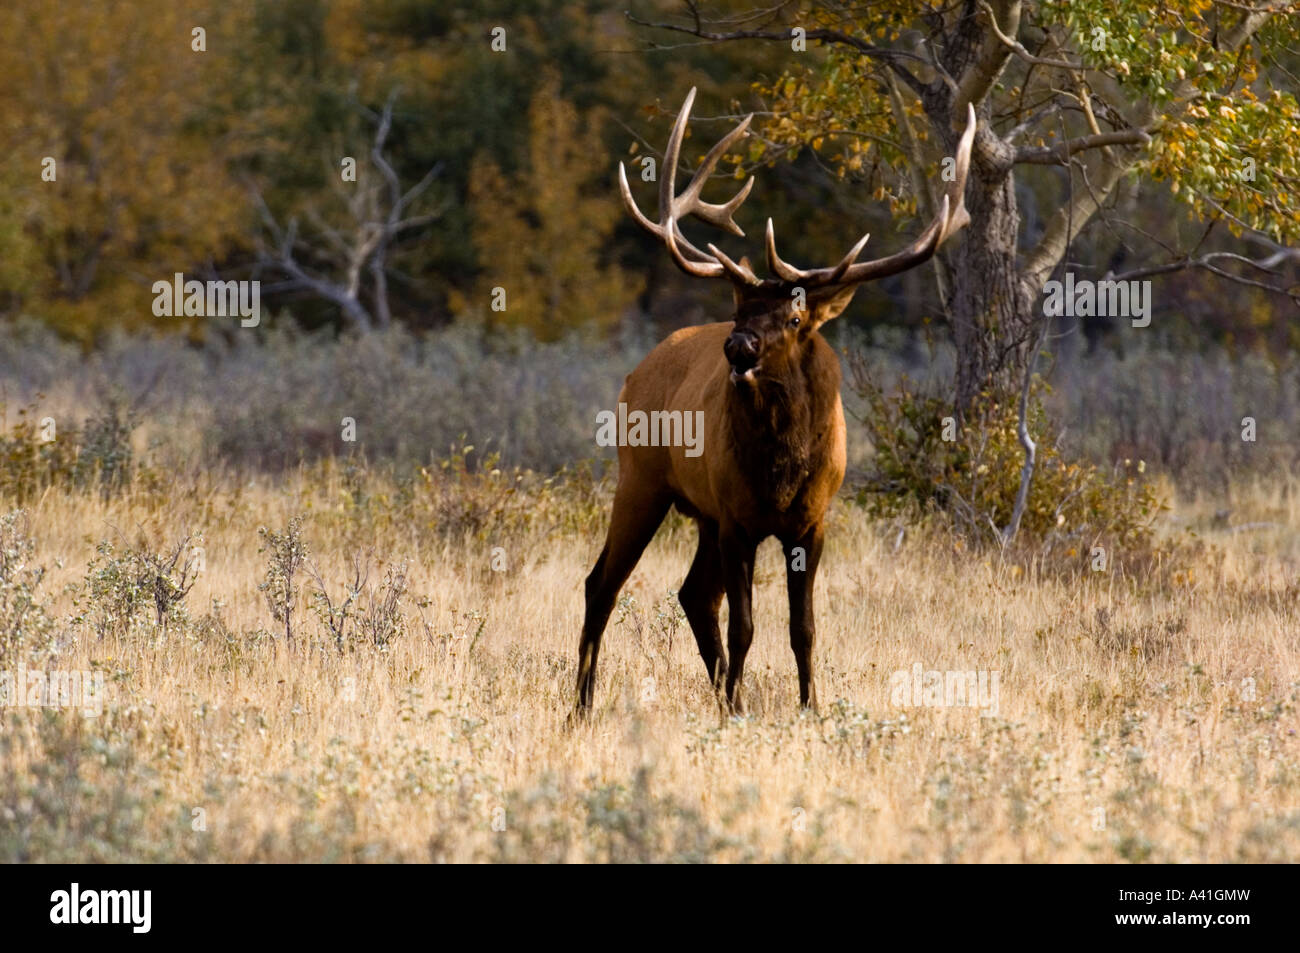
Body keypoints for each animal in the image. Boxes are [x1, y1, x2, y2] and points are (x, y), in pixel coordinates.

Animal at [573, 88, 975, 716]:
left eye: (792, 317)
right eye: (739, 309)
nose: (737, 347)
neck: (781, 470)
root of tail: (634, 373)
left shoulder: (810, 522)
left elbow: (802, 627)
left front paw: (808, 707)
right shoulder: (738, 517)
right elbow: (745, 626)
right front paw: (741, 706)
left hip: (701, 511)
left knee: (692, 594)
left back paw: (712, 694)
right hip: (642, 478)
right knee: (604, 583)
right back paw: (584, 705)